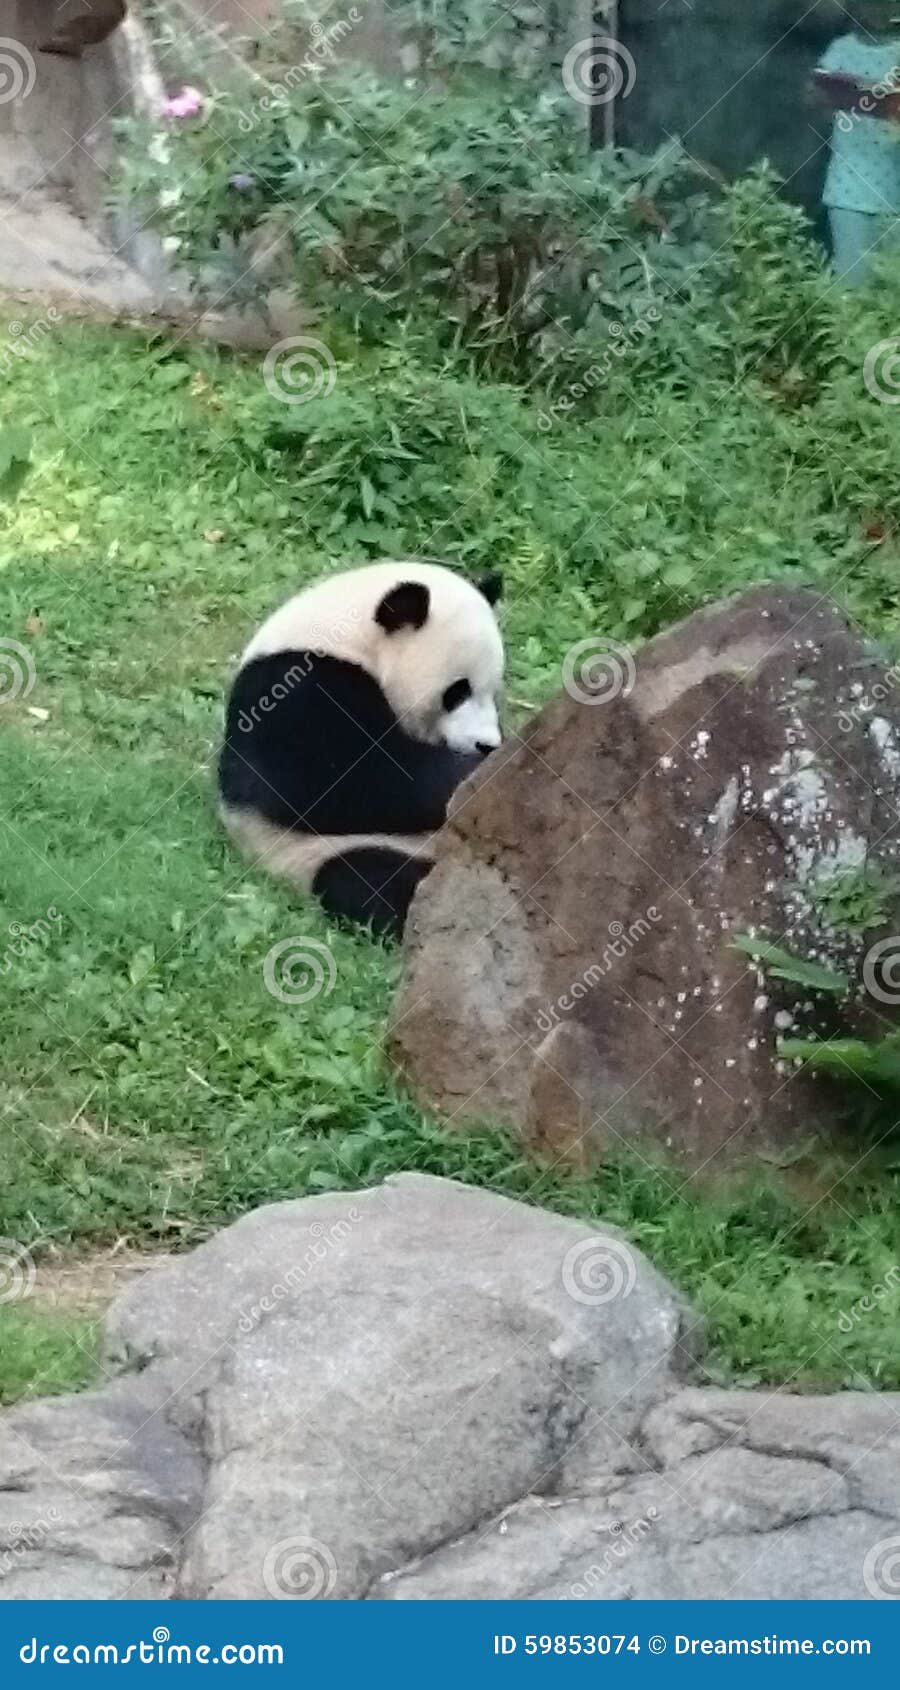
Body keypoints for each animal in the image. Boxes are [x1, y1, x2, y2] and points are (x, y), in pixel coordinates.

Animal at [218, 559, 504, 938]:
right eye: (458, 691)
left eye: (492, 690)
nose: (486, 744)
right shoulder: (292, 688)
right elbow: (337, 783)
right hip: (323, 851)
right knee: (369, 881)